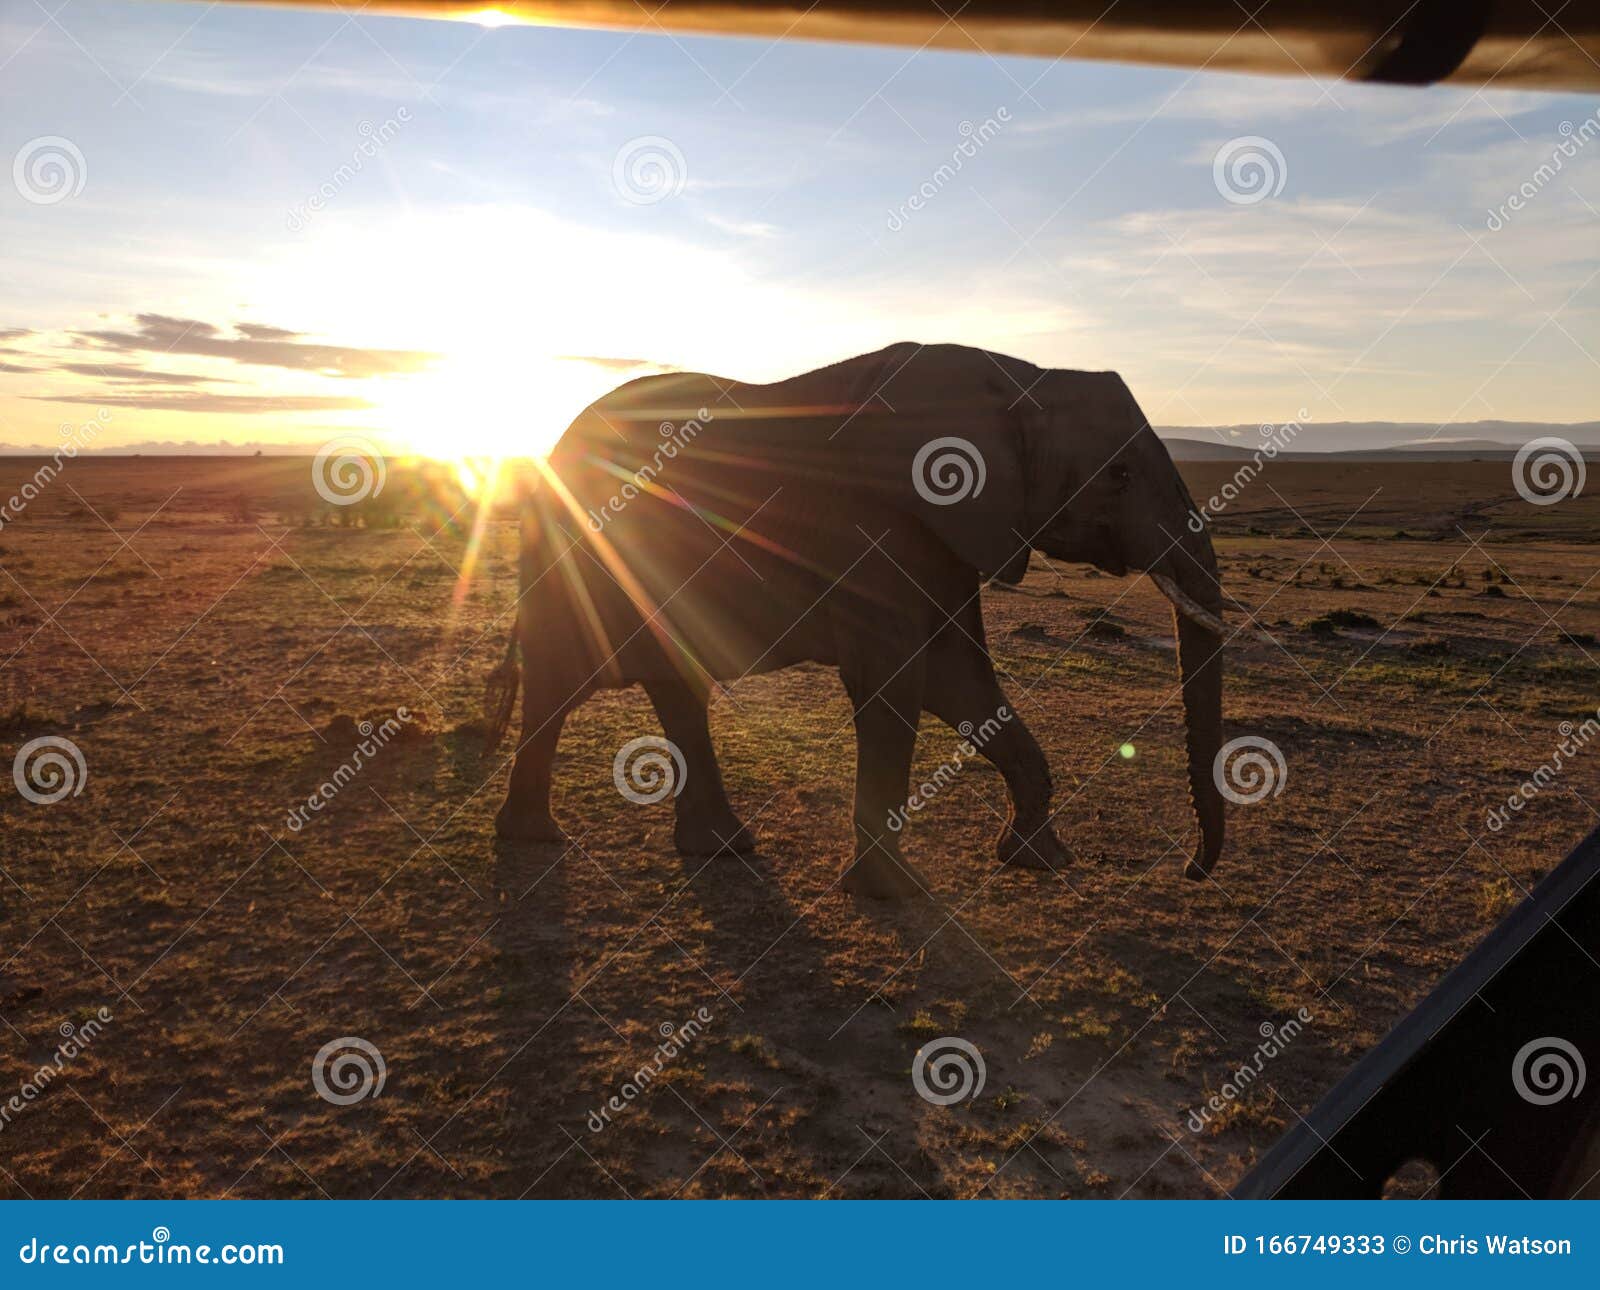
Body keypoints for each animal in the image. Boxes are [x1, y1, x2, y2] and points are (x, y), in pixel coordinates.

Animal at [488, 341, 1226, 899]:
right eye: (1119, 476)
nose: (1192, 871)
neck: (1020, 377)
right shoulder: (878, 526)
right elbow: (894, 682)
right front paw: (893, 893)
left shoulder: (946, 534)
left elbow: (959, 681)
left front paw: (1037, 858)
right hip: (577, 554)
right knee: (561, 680)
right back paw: (534, 836)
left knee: (674, 688)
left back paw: (721, 848)